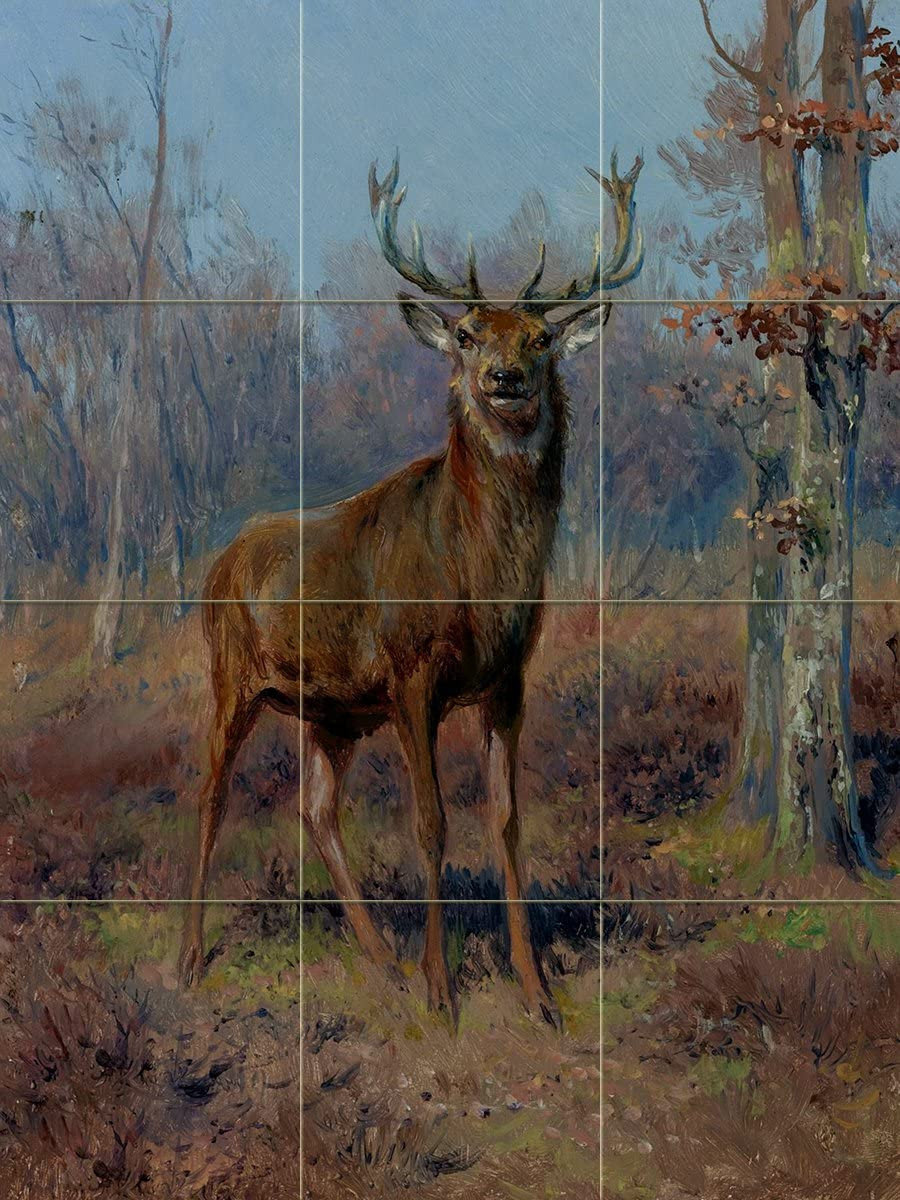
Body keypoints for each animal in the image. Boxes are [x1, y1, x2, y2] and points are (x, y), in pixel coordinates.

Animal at [178, 152, 643, 1026]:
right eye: (465, 333)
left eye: (541, 338)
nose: (504, 377)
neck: (478, 578)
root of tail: (219, 564)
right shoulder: (410, 671)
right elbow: (430, 824)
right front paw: (443, 991)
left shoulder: (508, 679)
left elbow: (506, 822)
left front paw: (536, 990)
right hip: (232, 674)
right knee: (212, 794)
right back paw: (189, 961)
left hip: (328, 710)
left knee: (315, 809)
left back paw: (381, 961)